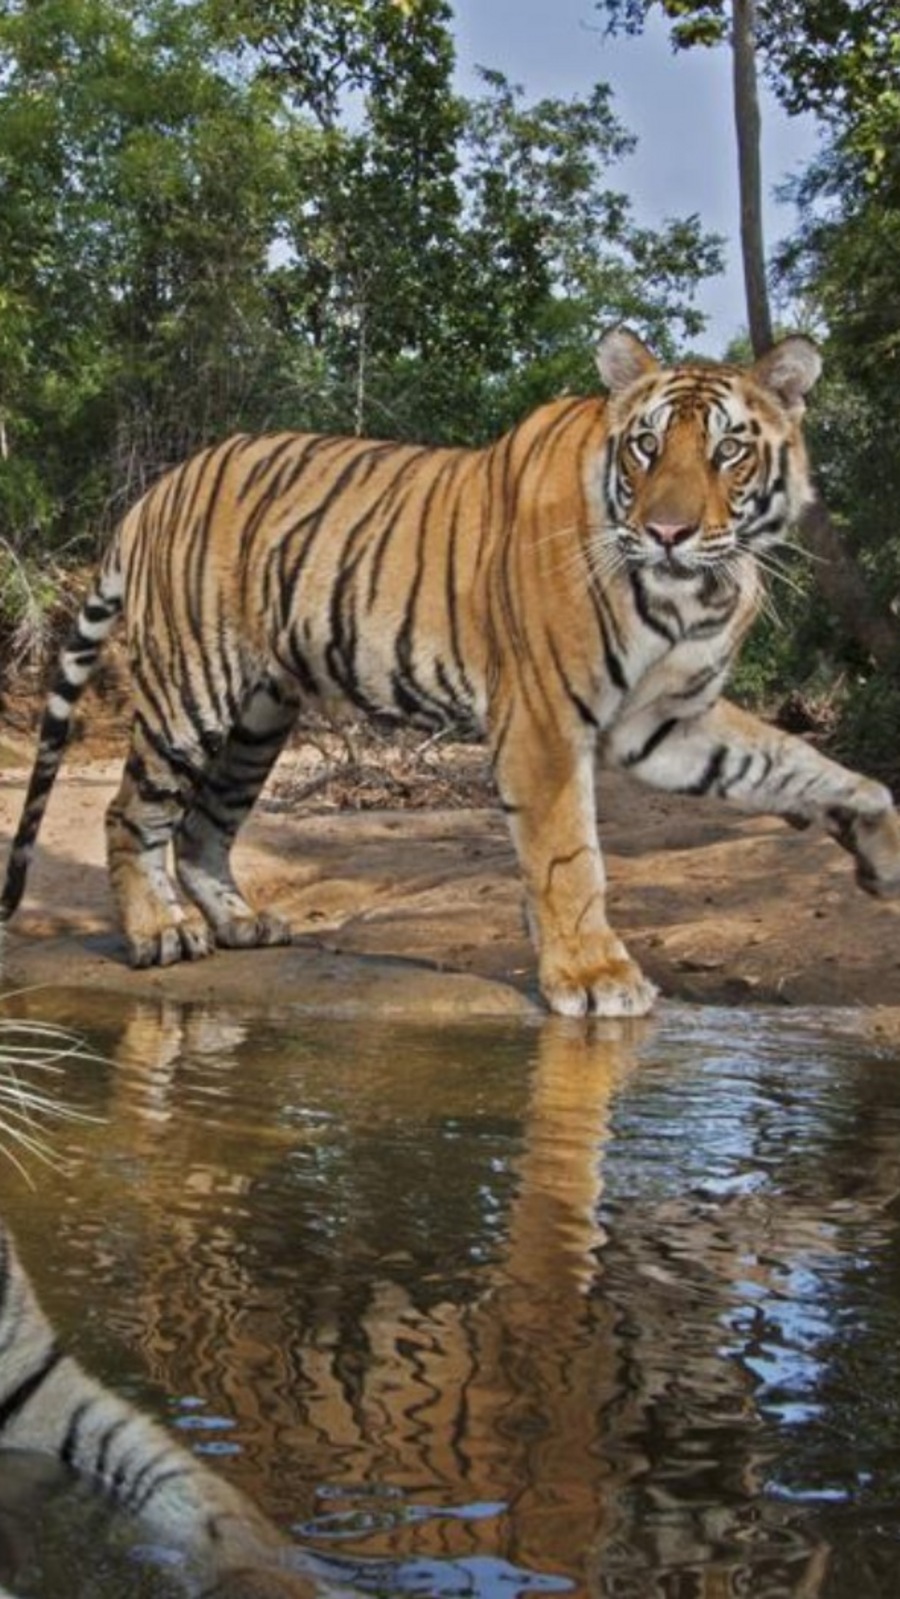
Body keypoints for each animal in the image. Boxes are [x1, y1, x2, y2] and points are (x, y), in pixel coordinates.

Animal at [3, 327, 899, 1017]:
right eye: (646, 447)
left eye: (728, 450)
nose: (669, 532)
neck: (691, 593)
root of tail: (155, 490)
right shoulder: (543, 720)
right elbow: (569, 856)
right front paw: (595, 975)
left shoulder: (665, 720)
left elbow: (796, 760)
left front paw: (878, 842)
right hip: (194, 692)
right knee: (131, 811)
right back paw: (159, 933)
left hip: (260, 716)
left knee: (203, 823)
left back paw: (239, 923)